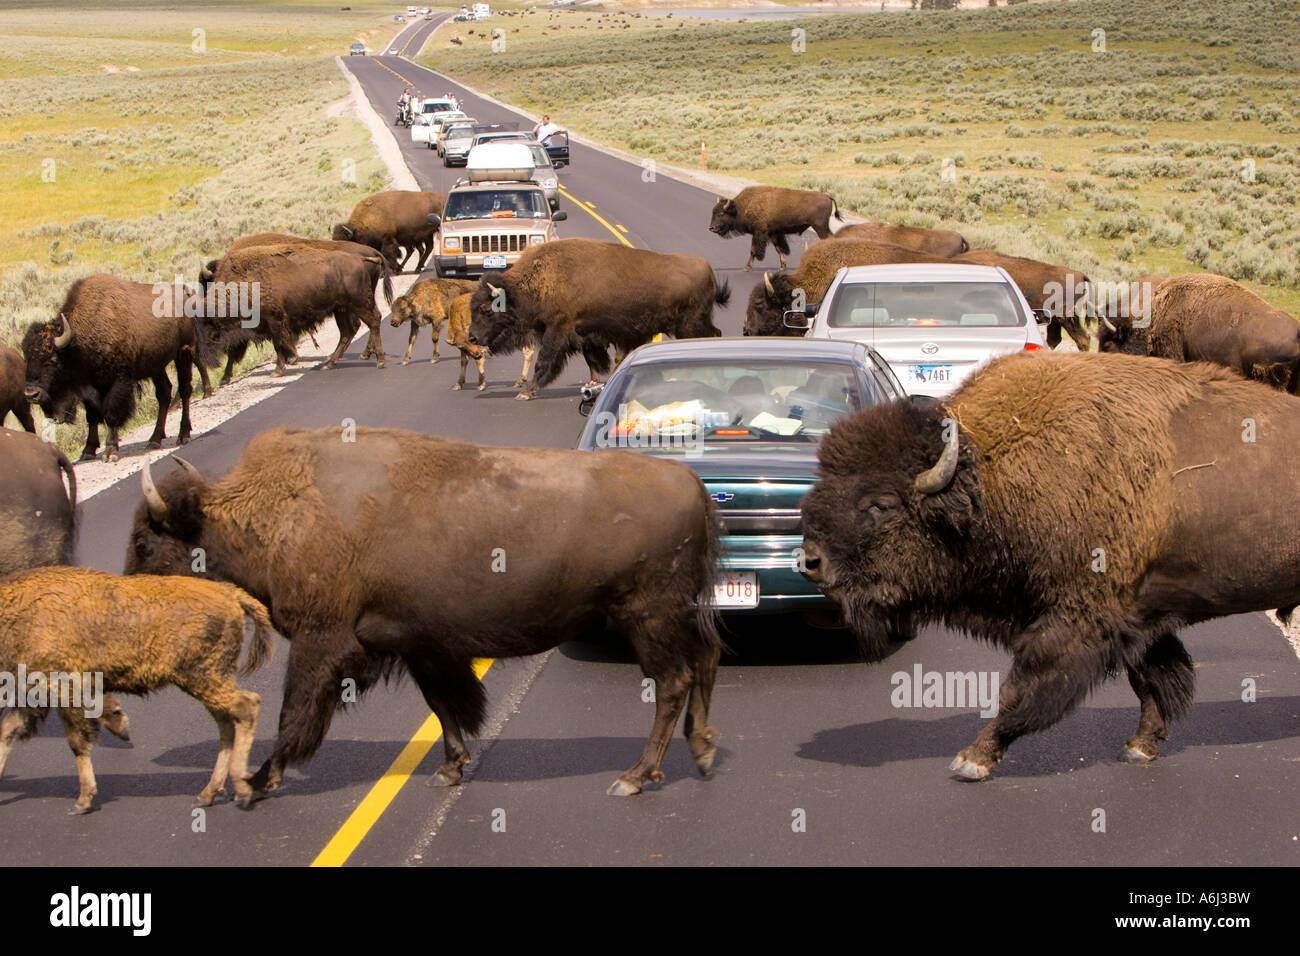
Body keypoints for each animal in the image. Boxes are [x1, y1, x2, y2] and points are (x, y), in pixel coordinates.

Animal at [22, 274, 204, 461]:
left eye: (53, 359)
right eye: (26, 358)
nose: (31, 394)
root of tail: (187, 296)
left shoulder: (118, 382)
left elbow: (111, 413)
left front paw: (110, 451)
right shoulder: (90, 387)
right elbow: (92, 416)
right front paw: (88, 451)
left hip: (183, 353)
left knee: (184, 390)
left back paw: (183, 435)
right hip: (156, 366)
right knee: (164, 394)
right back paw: (154, 439)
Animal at [126, 427, 723, 799]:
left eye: (144, 544)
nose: (133, 605)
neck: (281, 512)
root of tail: (693, 485)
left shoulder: (324, 642)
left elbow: (293, 714)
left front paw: (255, 782)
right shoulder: (418, 645)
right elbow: (443, 706)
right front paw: (450, 769)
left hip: (648, 618)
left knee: (673, 682)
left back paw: (635, 776)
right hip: (672, 617)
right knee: (705, 663)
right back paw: (701, 754)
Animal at [468, 239, 727, 399]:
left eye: (487, 309)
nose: (473, 337)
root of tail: (708, 270)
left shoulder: (557, 332)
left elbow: (543, 362)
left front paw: (526, 392)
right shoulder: (585, 336)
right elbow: (592, 363)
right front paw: (593, 385)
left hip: (691, 325)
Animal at [709, 185, 842, 271]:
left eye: (721, 214)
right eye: (713, 212)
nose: (711, 228)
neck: (744, 206)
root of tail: (828, 197)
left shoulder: (758, 232)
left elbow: (753, 250)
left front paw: (746, 267)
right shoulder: (773, 233)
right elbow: (779, 249)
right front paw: (782, 266)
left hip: (820, 228)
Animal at [800, 351, 1300, 780]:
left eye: (881, 503)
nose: (810, 560)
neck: (986, 477)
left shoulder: (1079, 619)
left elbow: (1021, 690)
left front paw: (973, 759)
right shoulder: (1138, 617)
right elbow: (1152, 679)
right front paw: (1141, 746)